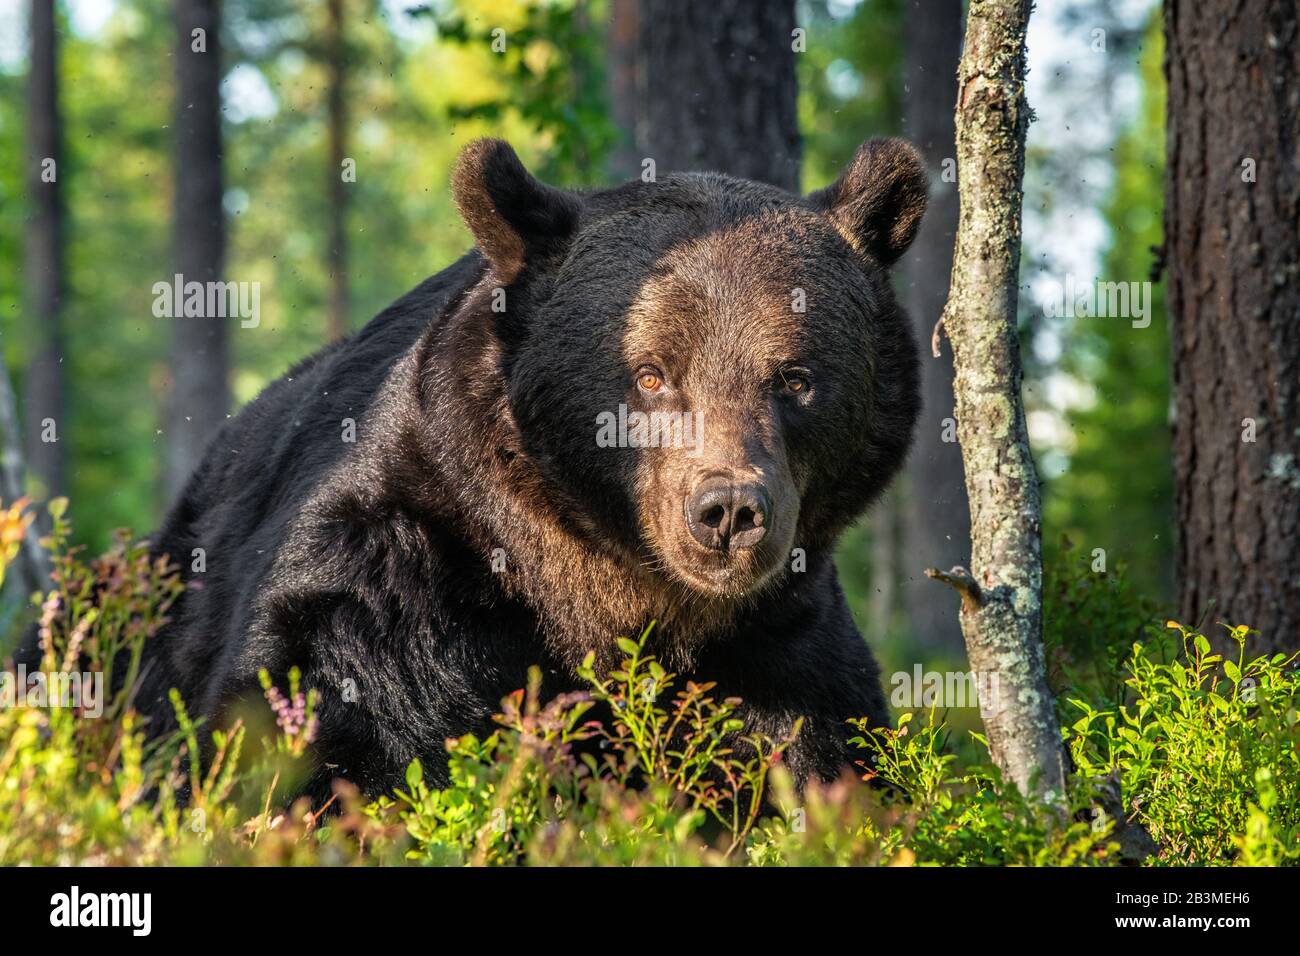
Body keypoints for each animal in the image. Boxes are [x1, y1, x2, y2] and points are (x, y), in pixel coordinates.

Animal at [108, 136, 927, 801]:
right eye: (652, 373)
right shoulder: (403, 558)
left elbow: (823, 751)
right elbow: (331, 709)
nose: (727, 511)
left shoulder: (778, 638)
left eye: (795, 378)